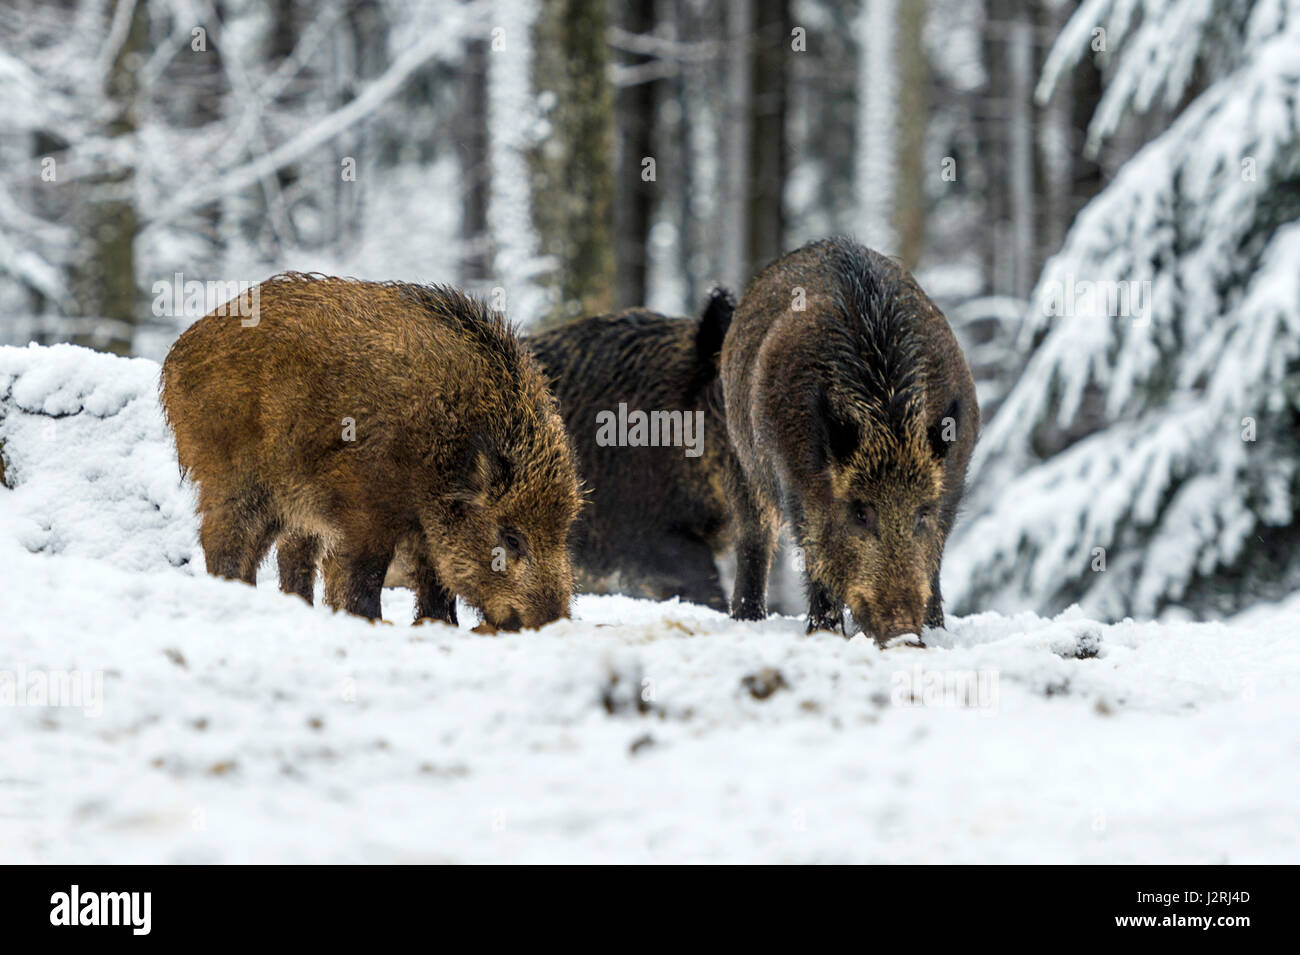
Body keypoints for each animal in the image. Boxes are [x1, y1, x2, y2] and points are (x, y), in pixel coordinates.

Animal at [160, 273, 580, 630]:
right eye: (511, 538)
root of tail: (179, 351)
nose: (553, 622)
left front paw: (439, 626)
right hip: (232, 477)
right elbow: (366, 574)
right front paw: (370, 622)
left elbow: (434, 585)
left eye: (563, 532)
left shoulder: (423, 531)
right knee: (223, 540)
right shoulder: (365, 510)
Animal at [720, 238, 978, 643]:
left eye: (921, 513)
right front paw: (824, 634)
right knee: (754, 535)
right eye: (860, 512)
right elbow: (814, 554)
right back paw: (747, 620)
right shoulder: (797, 484)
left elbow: (934, 558)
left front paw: (936, 631)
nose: (904, 635)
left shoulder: (950, 485)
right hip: (740, 454)